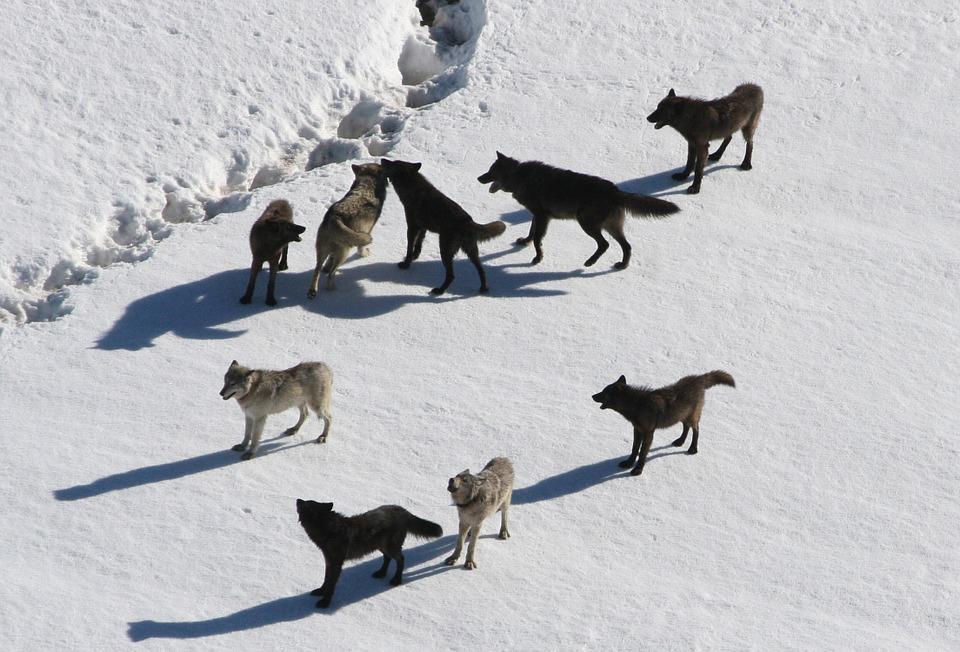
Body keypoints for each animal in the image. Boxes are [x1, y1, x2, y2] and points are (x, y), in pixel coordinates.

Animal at [296, 499, 443, 608]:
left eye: (305, 504)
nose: (297, 499)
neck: (329, 529)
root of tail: (403, 510)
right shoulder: (329, 561)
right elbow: (326, 580)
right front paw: (320, 591)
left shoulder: (336, 563)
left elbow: (331, 583)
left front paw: (325, 603)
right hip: (381, 546)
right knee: (388, 558)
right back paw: (381, 573)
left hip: (390, 547)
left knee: (401, 559)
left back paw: (396, 580)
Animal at [307, 163, 388, 297]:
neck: (367, 184)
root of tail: (335, 216)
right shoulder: (368, 231)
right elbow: (362, 248)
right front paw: (364, 254)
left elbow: (328, 262)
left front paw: (326, 268)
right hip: (344, 253)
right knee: (331, 274)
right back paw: (334, 290)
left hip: (322, 251)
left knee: (317, 269)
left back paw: (313, 291)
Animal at [381, 158, 506, 295]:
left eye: (392, 163)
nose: (382, 159)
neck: (412, 187)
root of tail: (468, 221)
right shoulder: (423, 228)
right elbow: (418, 245)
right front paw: (415, 257)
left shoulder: (413, 227)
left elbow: (409, 247)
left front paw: (406, 264)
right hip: (471, 252)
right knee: (481, 270)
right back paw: (483, 289)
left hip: (445, 250)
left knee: (451, 275)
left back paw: (439, 291)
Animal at [477, 153, 679, 267]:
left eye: (491, 172)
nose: (479, 178)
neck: (520, 177)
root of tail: (615, 190)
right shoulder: (538, 215)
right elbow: (532, 233)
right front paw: (524, 242)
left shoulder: (542, 216)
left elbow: (537, 239)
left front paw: (537, 258)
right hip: (611, 227)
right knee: (626, 246)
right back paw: (621, 265)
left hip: (586, 223)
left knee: (605, 244)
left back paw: (590, 262)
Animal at [592, 371, 735, 476]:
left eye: (604, 392)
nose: (592, 396)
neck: (637, 405)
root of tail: (698, 378)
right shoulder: (637, 430)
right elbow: (634, 449)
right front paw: (628, 463)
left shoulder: (649, 433)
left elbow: (643, 452)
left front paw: (638, 470)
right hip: (681, 416)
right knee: (686, 427)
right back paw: (680, 442)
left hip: (691, 418)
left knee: (696, 430)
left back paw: (693, 449)